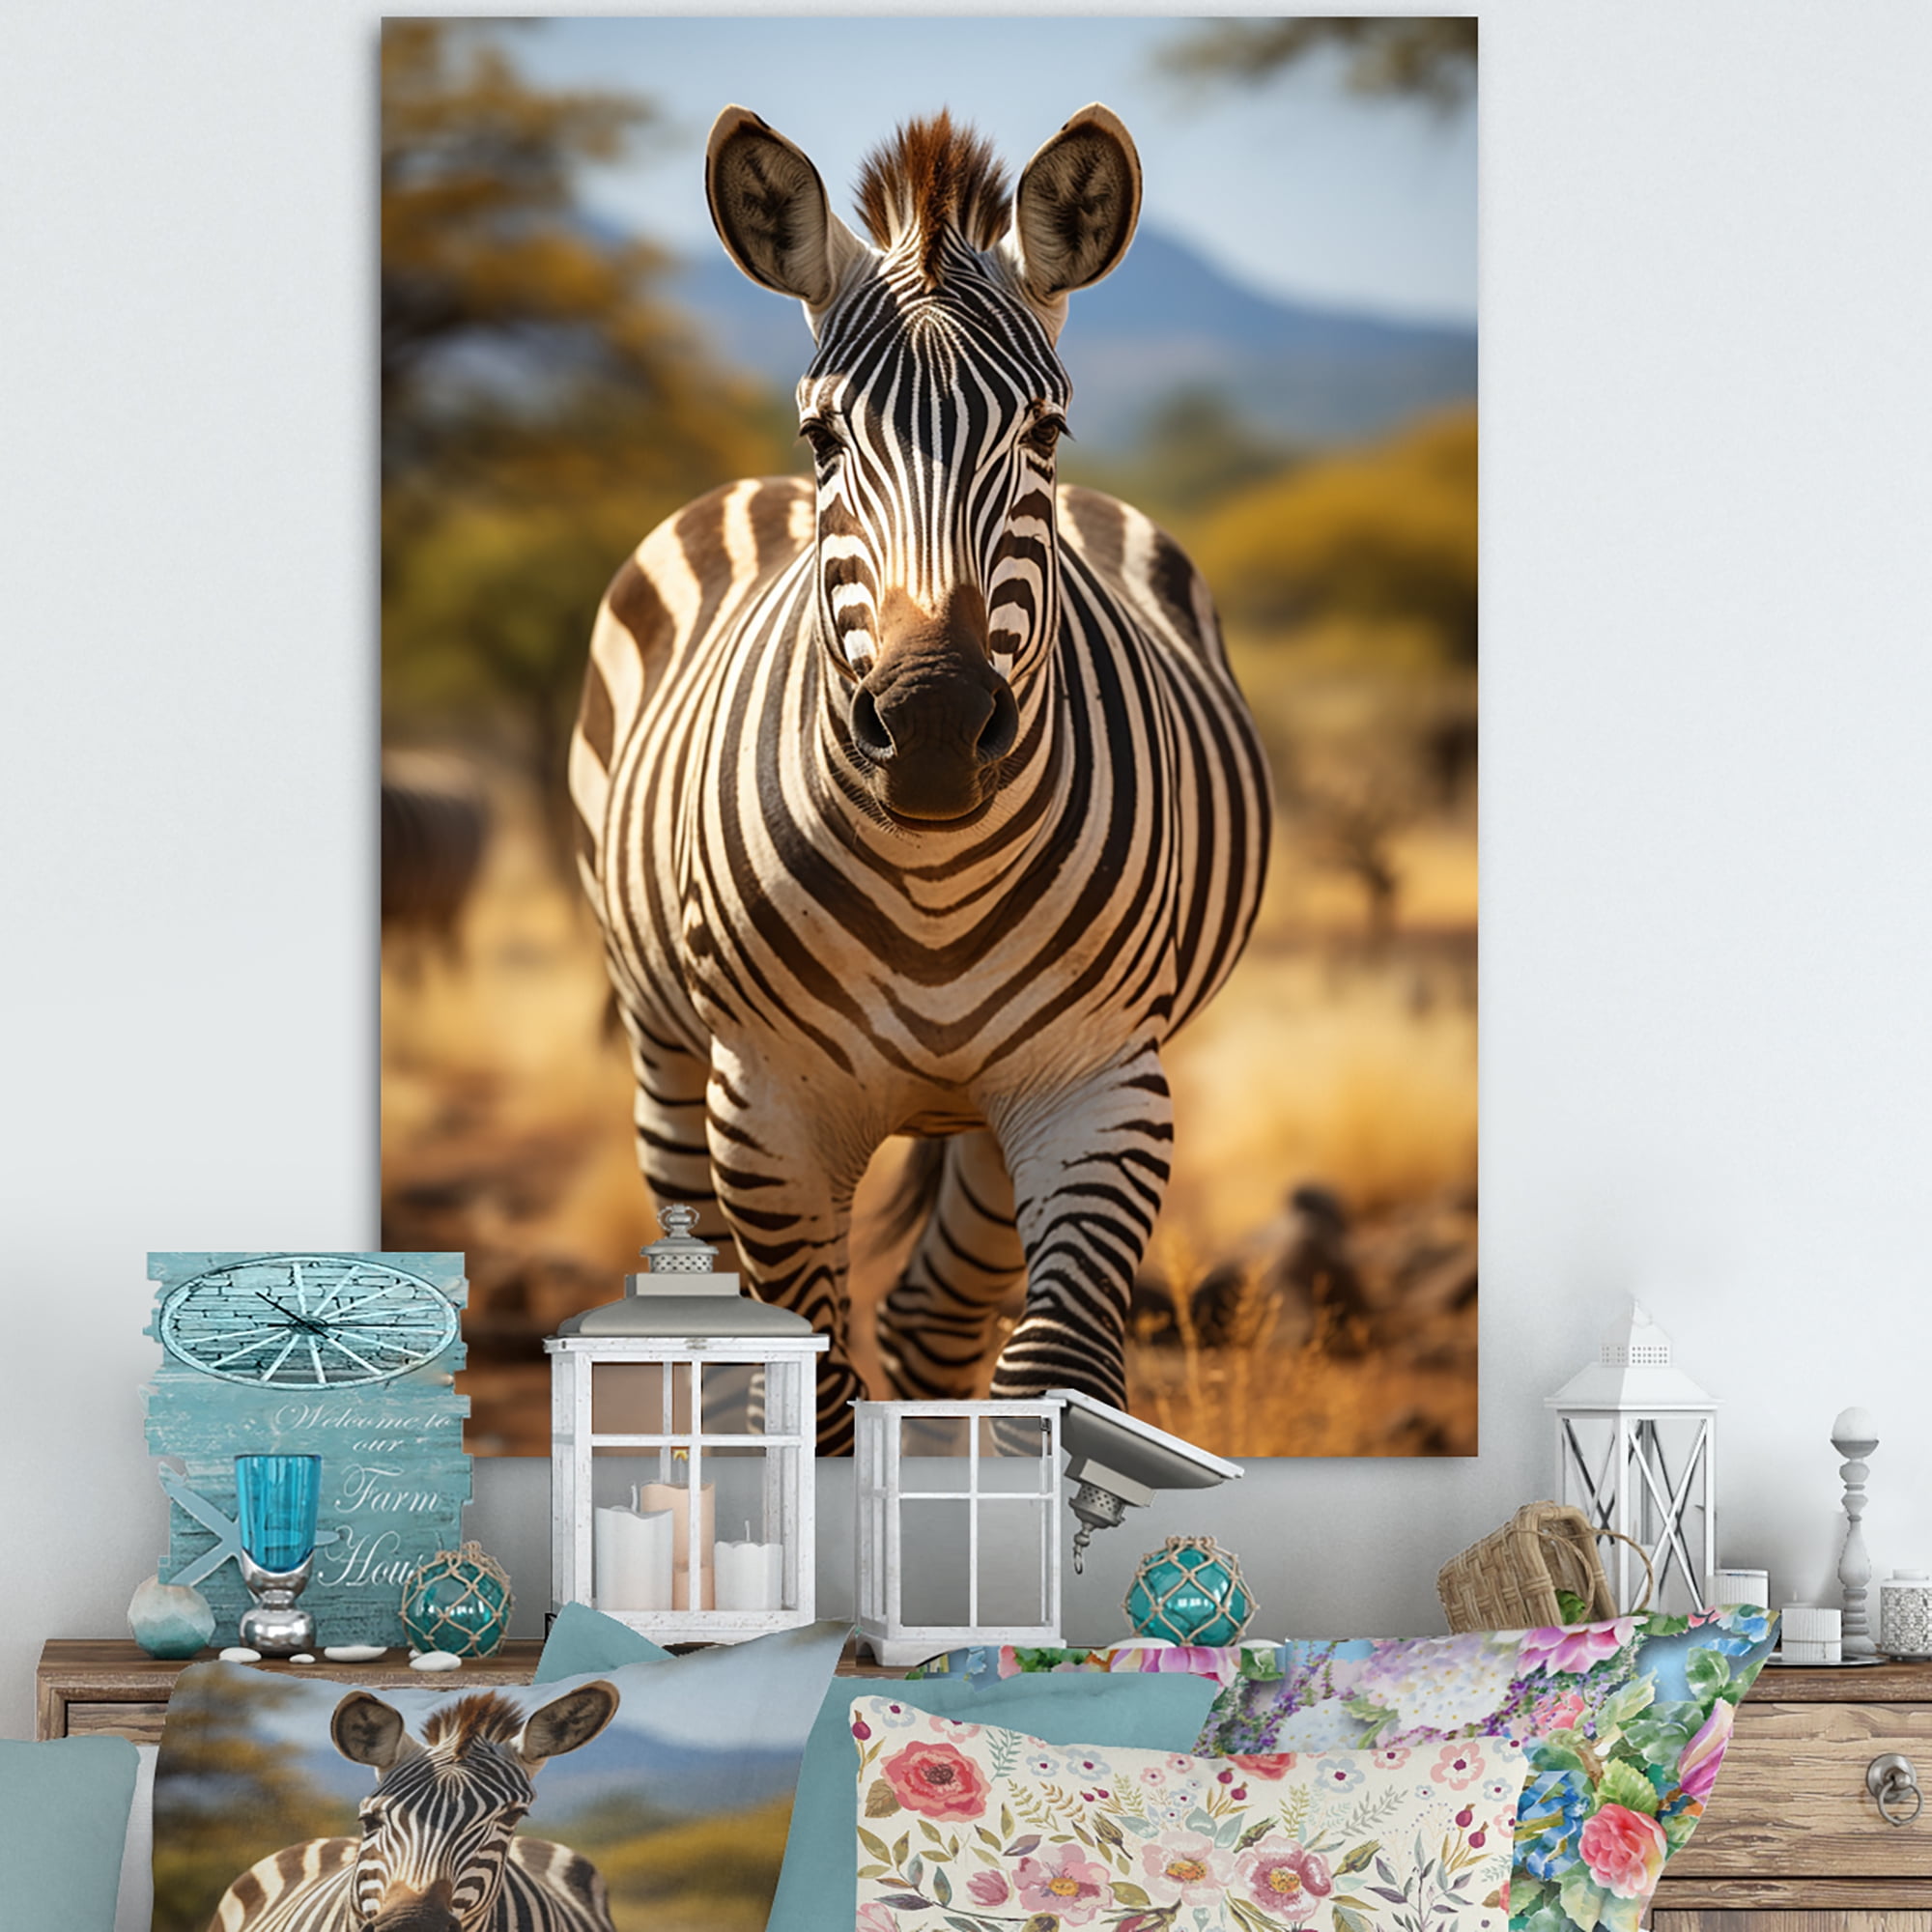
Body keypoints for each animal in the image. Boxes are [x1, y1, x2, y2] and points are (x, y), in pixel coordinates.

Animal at [570, 105, 1272, 1452]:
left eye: (1044, 431)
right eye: (821, 434)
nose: (934, 724)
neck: (934, 872)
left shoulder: (1103, 1088)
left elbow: (1048, 1377)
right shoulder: (767, 1114)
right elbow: (813, 1397)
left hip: (998, 1118)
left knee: (937, 1319)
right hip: (664, 1051)